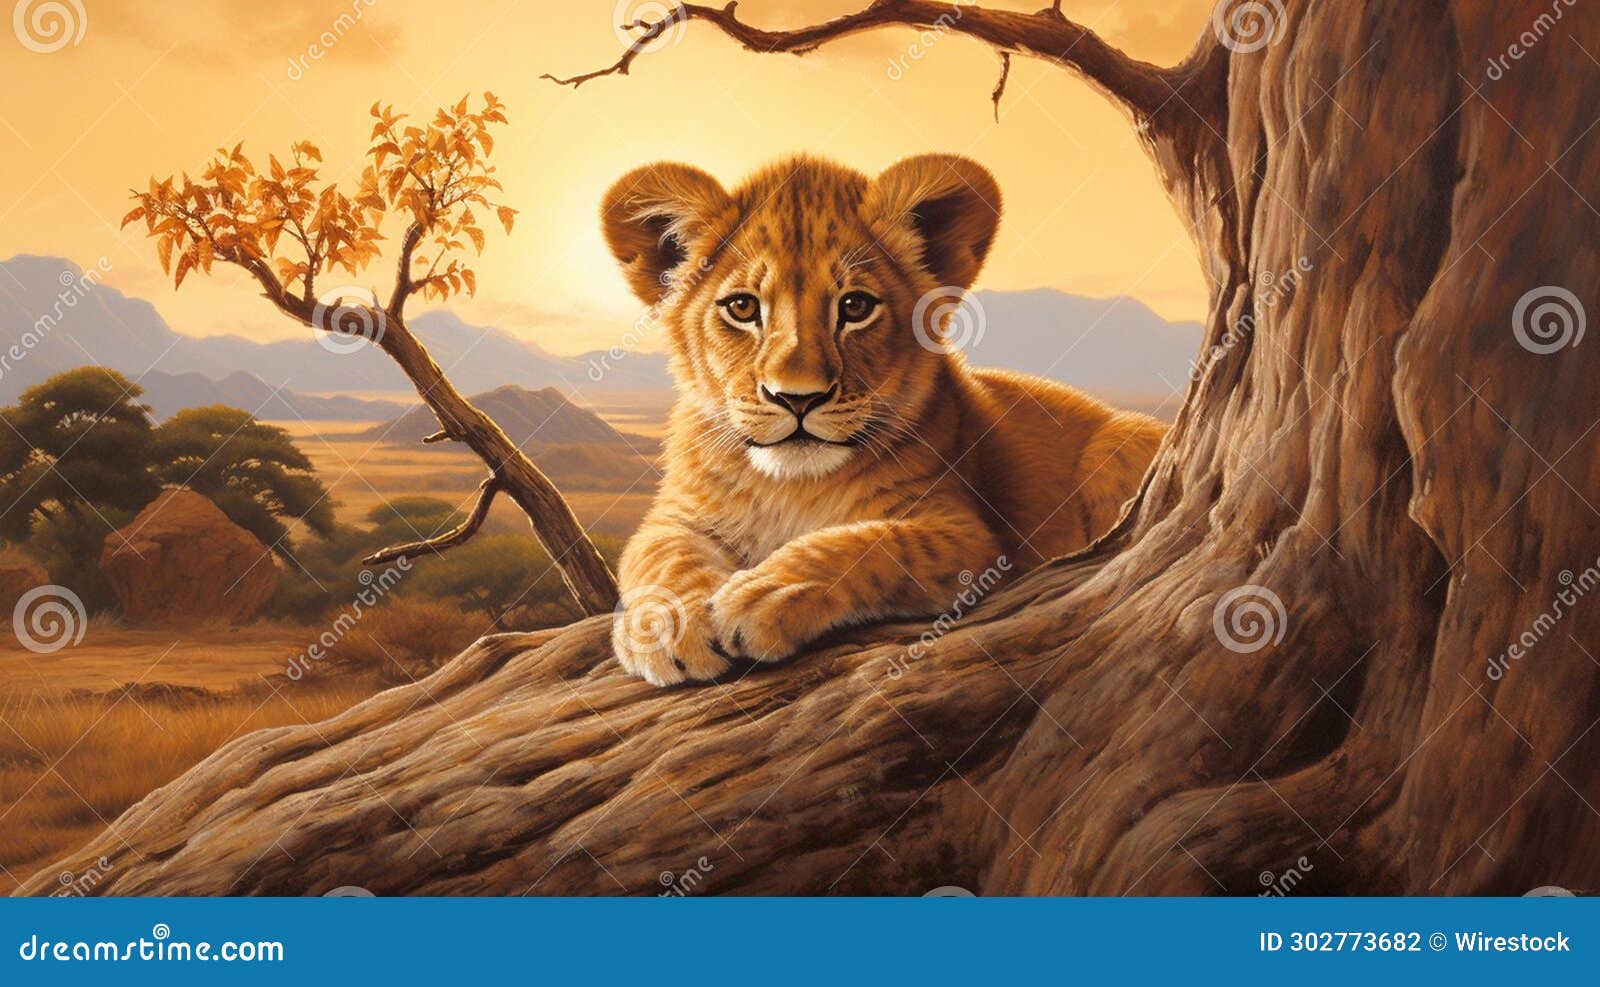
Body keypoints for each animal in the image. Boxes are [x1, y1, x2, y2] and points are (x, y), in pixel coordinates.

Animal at [600, 153, 1165, 686]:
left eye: (855, 307)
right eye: (741, 308)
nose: (797, 399)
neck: (790, 487)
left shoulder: (967, 535)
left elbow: (872, 543)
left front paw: (763, 595)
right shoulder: (676, 513)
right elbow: (661, 554)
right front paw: (670, 628)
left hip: (1125, 437)